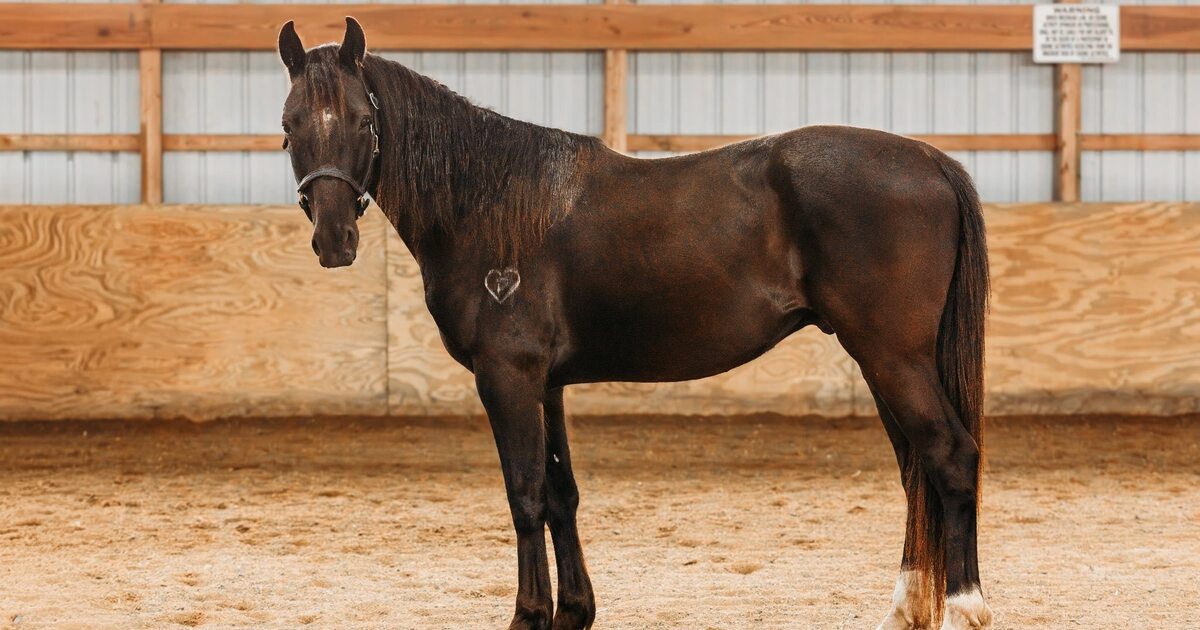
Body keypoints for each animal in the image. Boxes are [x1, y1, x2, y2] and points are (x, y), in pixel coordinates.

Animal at [277, 17, 992, 630]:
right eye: (288, 124)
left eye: (363, 120)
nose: (334, 240)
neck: (490, 205)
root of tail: (932, 161)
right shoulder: (547, 384)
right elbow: (561, 494)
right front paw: (573, 612)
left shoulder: (507, 378)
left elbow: (524, 493)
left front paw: (529, 615)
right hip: (885, 362)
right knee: (915, 470)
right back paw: (906, 608)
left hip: (892, 358)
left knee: (948, 458)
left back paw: (964, 609)